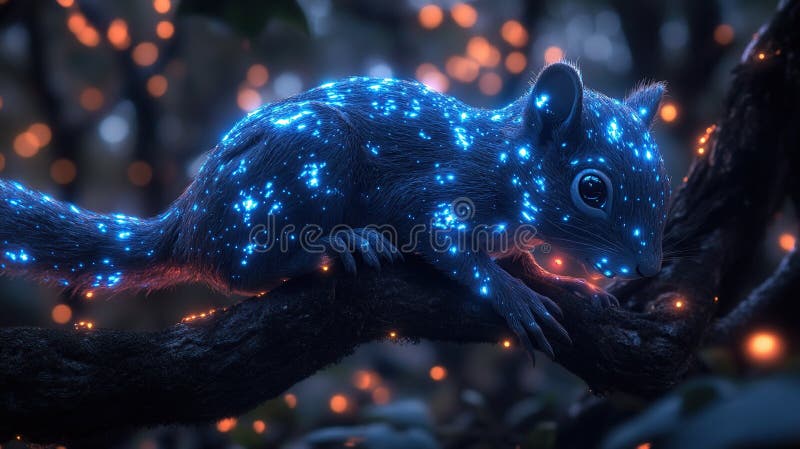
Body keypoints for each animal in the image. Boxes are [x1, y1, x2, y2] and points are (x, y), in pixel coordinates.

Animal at [0, 63, 669, 360]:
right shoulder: (434, 193)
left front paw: (571, 286)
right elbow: (453, 252)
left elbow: (525, 261)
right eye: (591, 189)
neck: (503, 167)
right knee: (242, 268)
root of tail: (185, 222)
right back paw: (343, 245)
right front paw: (515, 297)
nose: (648, 266)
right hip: (302, 164)